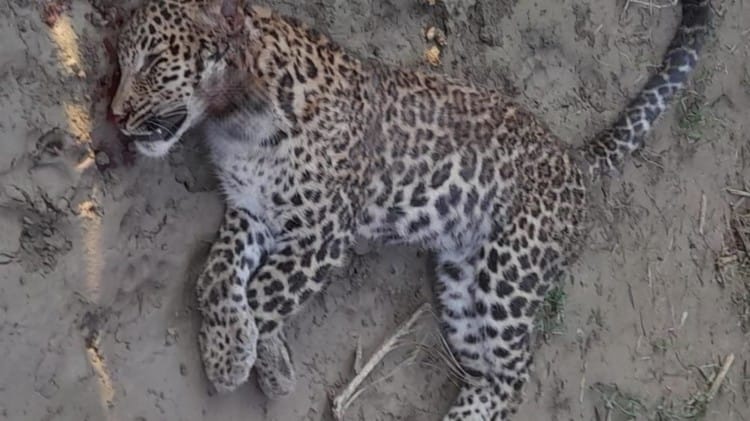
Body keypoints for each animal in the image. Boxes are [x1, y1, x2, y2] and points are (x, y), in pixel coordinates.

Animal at [110, 0, 711, 419]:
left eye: (153, 63)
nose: (114, 115)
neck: (235, 115)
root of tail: (574, 157)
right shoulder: (252, 210)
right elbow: (215, 276)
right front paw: (245, 352)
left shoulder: (323, 232)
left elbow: (263, 295)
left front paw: (242, 358)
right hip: (461, 286)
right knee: (491, 375)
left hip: (510, 277)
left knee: (518, 375)